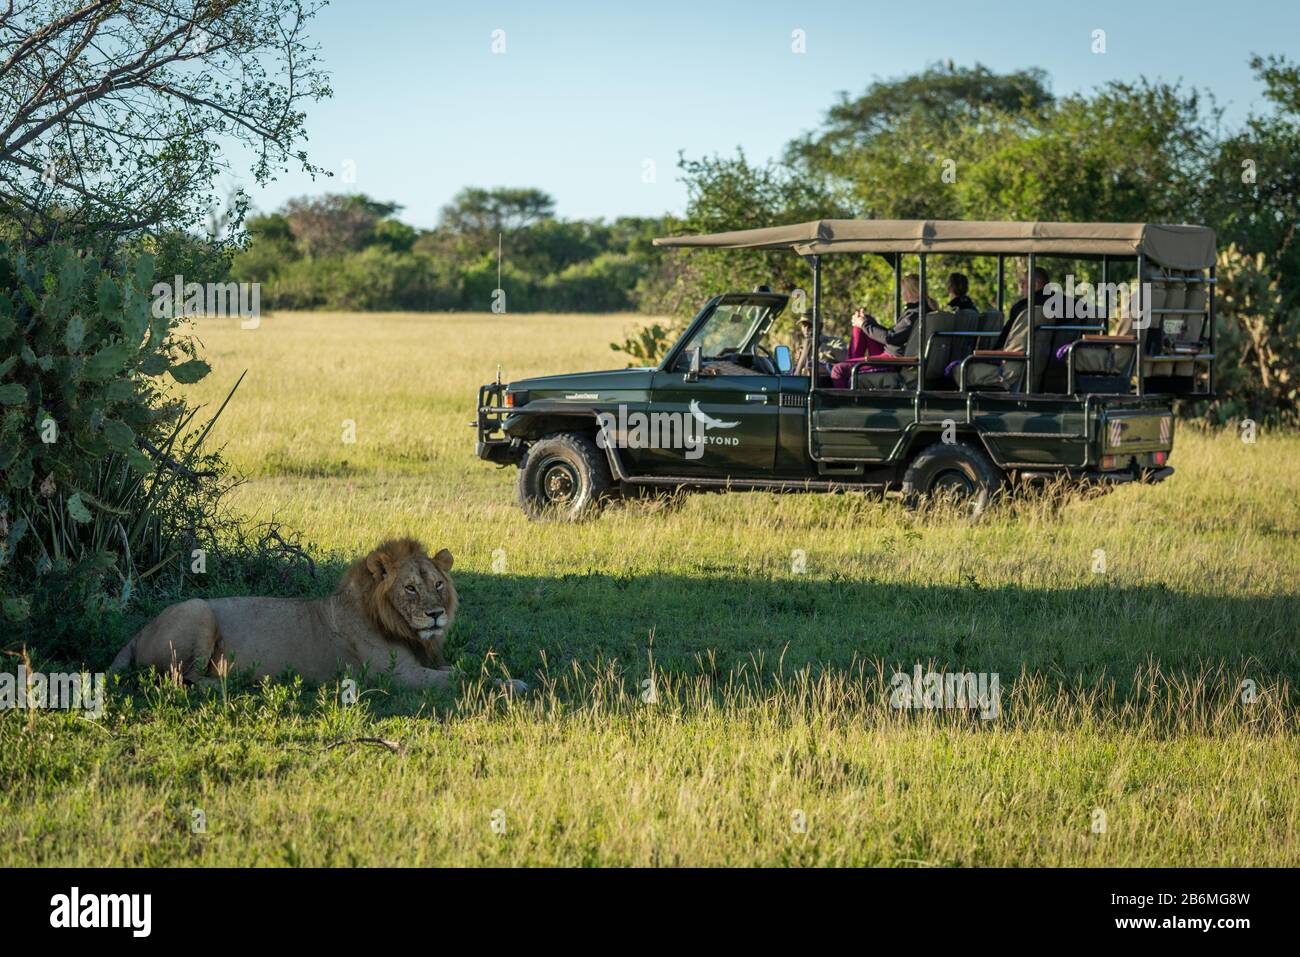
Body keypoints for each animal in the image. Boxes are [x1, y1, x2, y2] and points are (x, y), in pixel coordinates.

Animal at [109, 538, 526, 693]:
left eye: (438, 584)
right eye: (410, 588)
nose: (436, 614)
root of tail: (136, 633)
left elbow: (458, 668)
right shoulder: (397, 676)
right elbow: (462, 678)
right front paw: (513, 683)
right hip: (197, 610)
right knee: (181, 677)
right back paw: (236, 681)